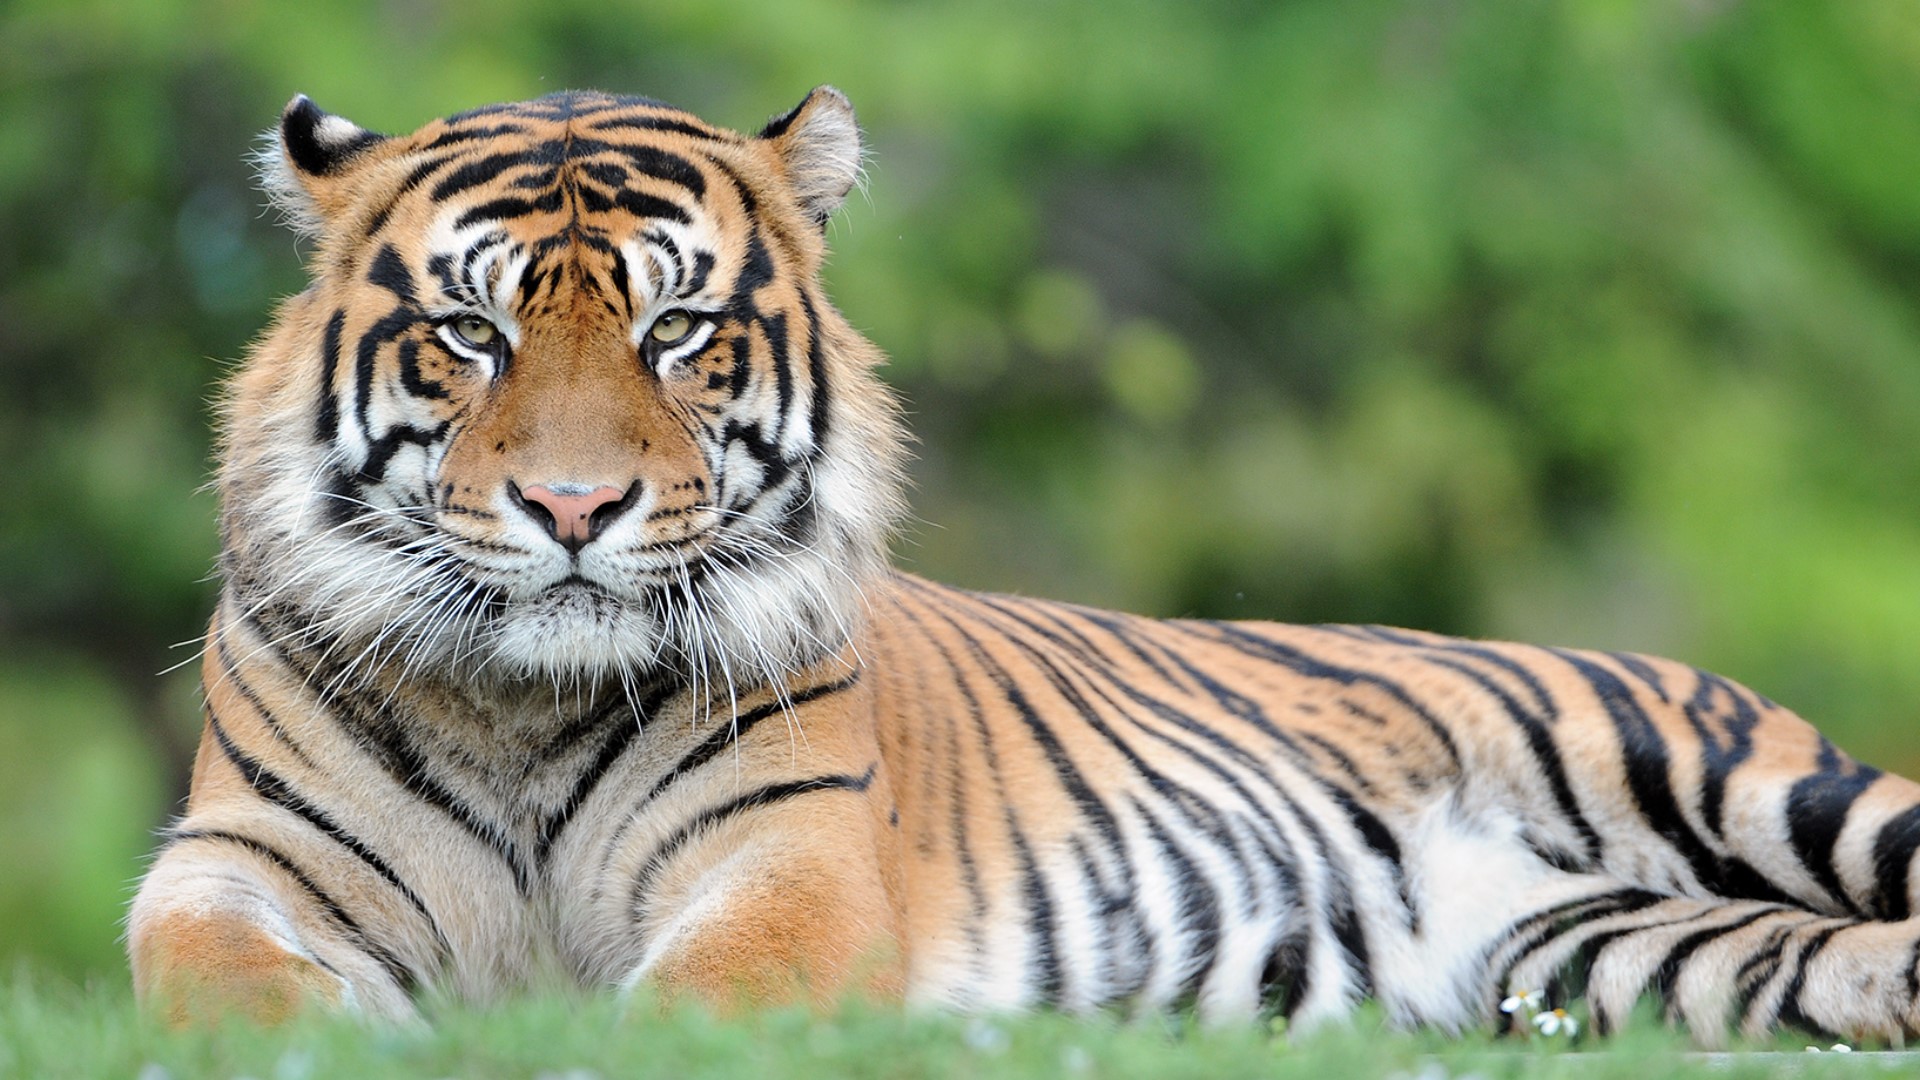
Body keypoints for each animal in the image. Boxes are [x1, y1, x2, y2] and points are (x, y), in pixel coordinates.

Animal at [127, 85, 1920, 1045]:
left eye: (678, 331)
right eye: (472, 335)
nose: (577, 509)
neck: (522, 703)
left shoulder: (789, 868)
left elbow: (696, 998)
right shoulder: (235, 861)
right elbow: (212, 979)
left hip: (1760, 787)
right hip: (1590, 959)